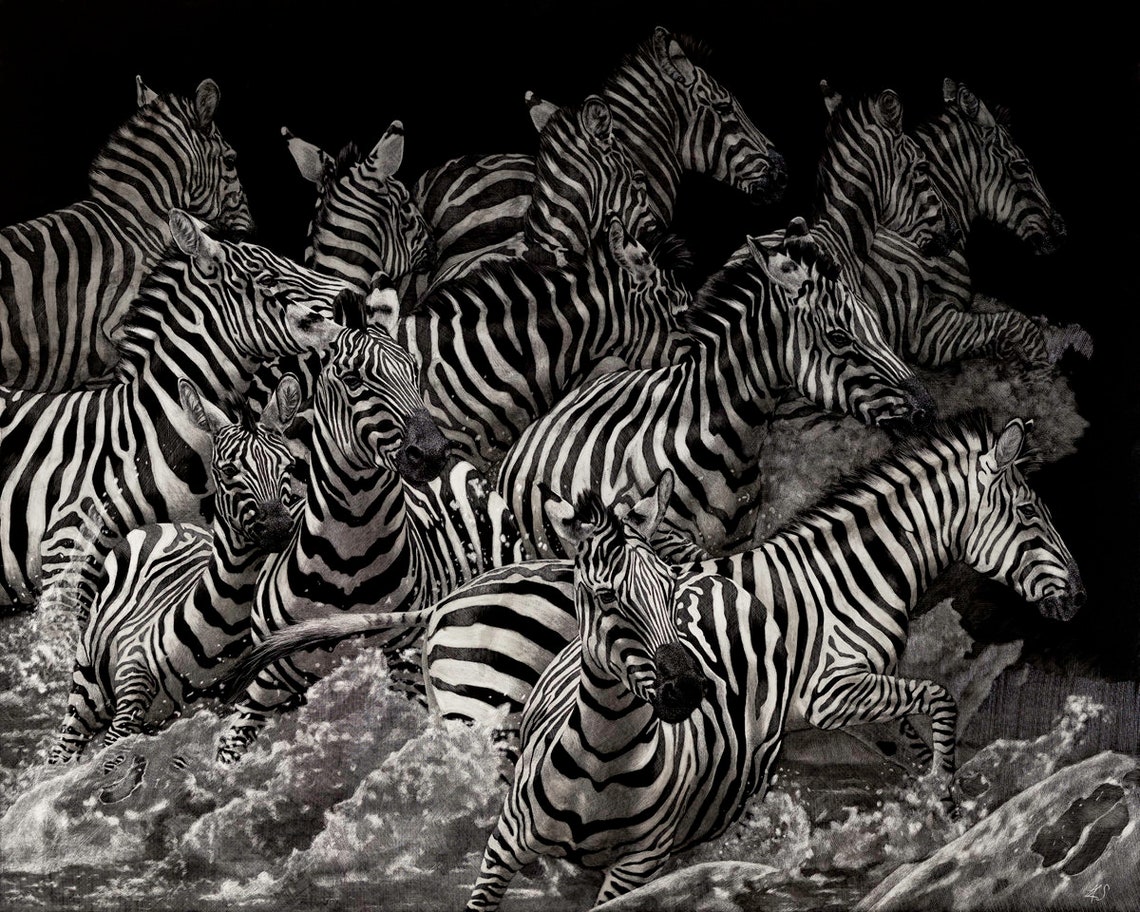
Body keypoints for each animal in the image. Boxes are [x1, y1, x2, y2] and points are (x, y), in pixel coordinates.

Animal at [48, 375, 304, 762]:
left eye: (289, 467)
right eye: (229, 471)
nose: (278, 529)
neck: (219, 636)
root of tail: (171, 525)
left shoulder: (216, 708)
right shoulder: (131, 691)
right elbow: (110, 761)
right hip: (87, 681)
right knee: (65, 746)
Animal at [216, 283, 523, 763]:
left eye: (414, 369)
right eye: (352, 379)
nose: (431, 453)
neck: (348, 564)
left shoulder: (407, 665)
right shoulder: (266, 680)